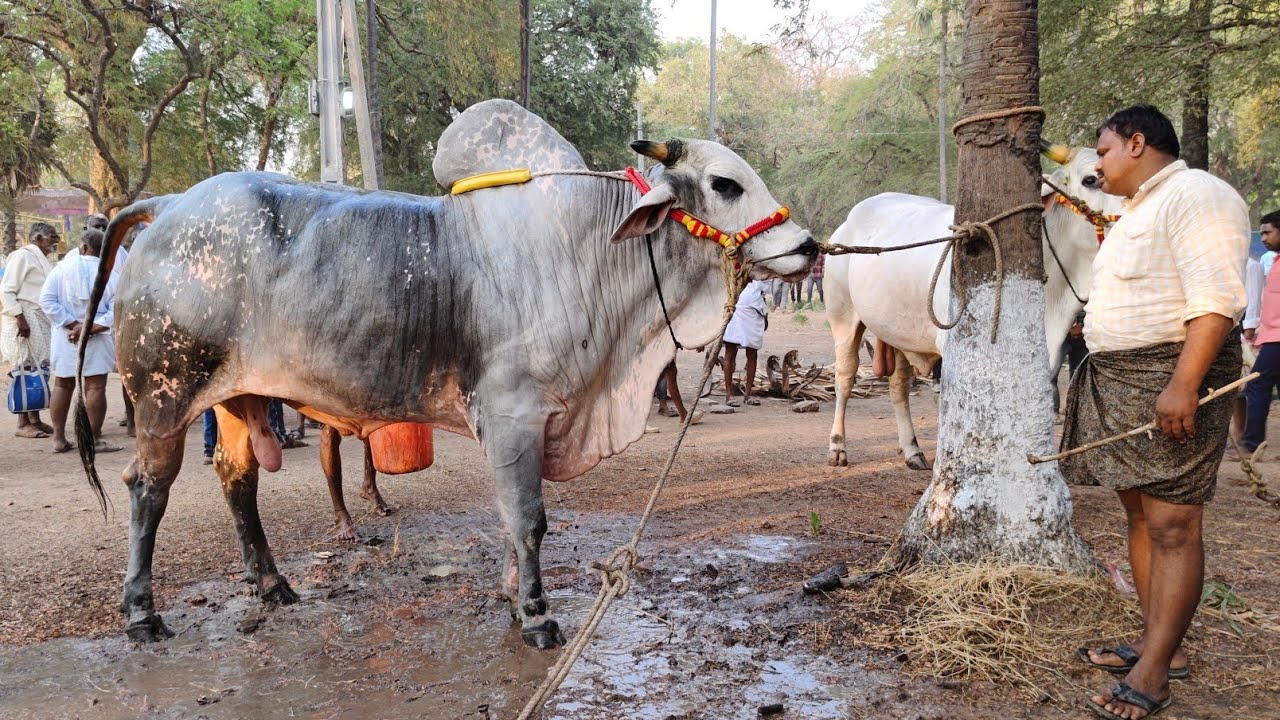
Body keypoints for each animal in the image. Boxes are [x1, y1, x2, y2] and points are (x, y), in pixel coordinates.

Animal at [76, 99, 816, 649]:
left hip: (239, 397)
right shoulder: (514, 414)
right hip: (164, 396)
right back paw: (142, 614)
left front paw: (514, 598)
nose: (809, 246)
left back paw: (273, 586)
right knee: (148, 489)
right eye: (725, 184)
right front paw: (537, 616)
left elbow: (512, 519)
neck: (587, 254)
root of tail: (169, 205)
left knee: (238, 480)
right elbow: (528, 519)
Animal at [823, 144, 1125, 469]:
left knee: (898, 386)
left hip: (898, 331)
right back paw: (837, 446)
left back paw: (912, 449)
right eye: (1090, 179)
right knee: (845, 376)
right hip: (842, 316)